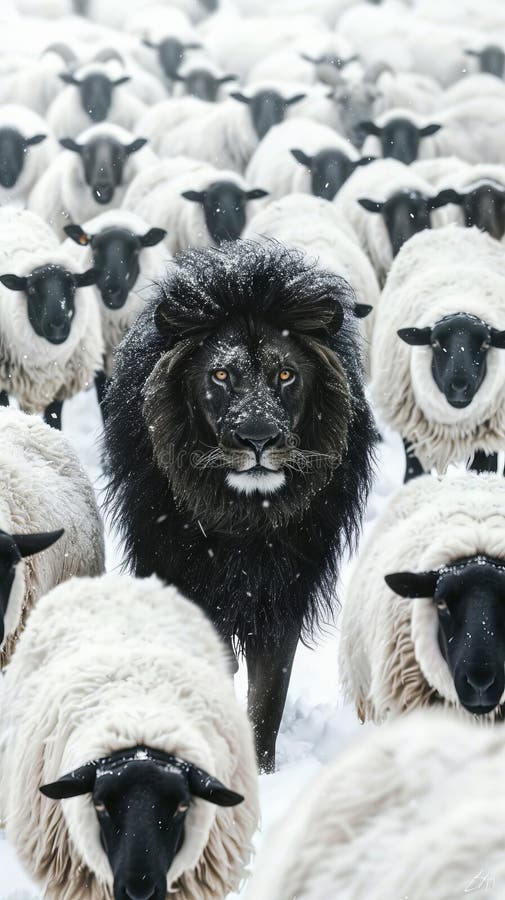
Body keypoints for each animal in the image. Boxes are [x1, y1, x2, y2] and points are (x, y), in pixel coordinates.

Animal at [103, 240, 376, 769]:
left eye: (285, 374)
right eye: (222, 374)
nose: (258, 438)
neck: (246, 520)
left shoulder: (282, 597)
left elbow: (268, 696)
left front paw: (262, 770)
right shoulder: (190, 582)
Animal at [371, 226, 505, 476]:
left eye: (485, 344)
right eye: (434, 343)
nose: (459, 386)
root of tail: (454, 228)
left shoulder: (486, 443)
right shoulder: (412, 436)